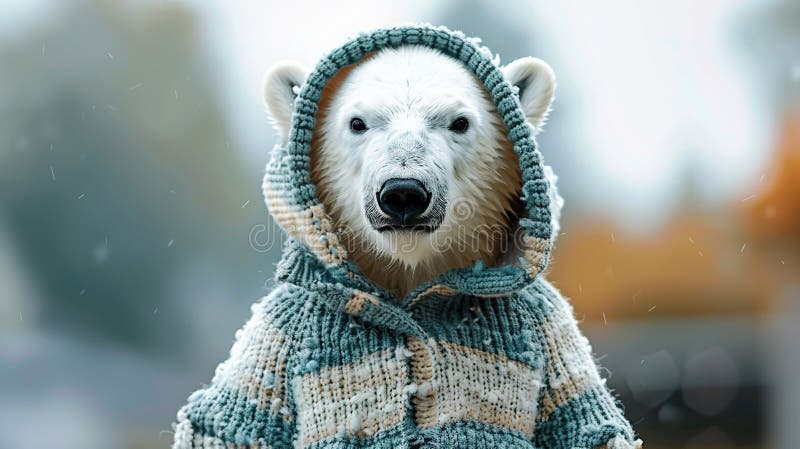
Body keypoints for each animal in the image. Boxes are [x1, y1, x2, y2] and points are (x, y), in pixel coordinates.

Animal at [172, 25, 640, 449]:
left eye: (459, 122)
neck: (407, 276)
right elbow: (230, 424)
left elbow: (584, 421)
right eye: (357, 122)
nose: (403, 192)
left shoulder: (542, 318)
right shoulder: (285, 324)